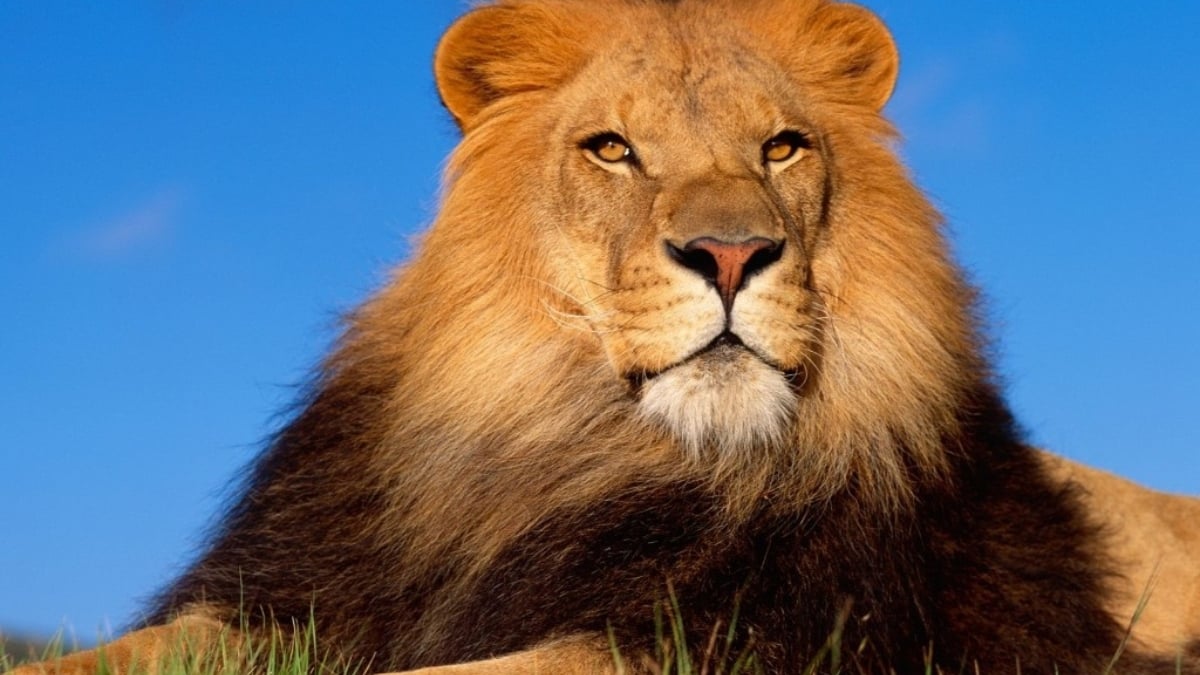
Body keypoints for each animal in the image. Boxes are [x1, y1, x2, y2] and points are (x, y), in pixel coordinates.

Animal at [10, 0, 1199, 673]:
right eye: (612, 148)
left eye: (782, 146)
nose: (732, 253)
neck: (564, 448)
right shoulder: (293, 600)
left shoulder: (747, 637)